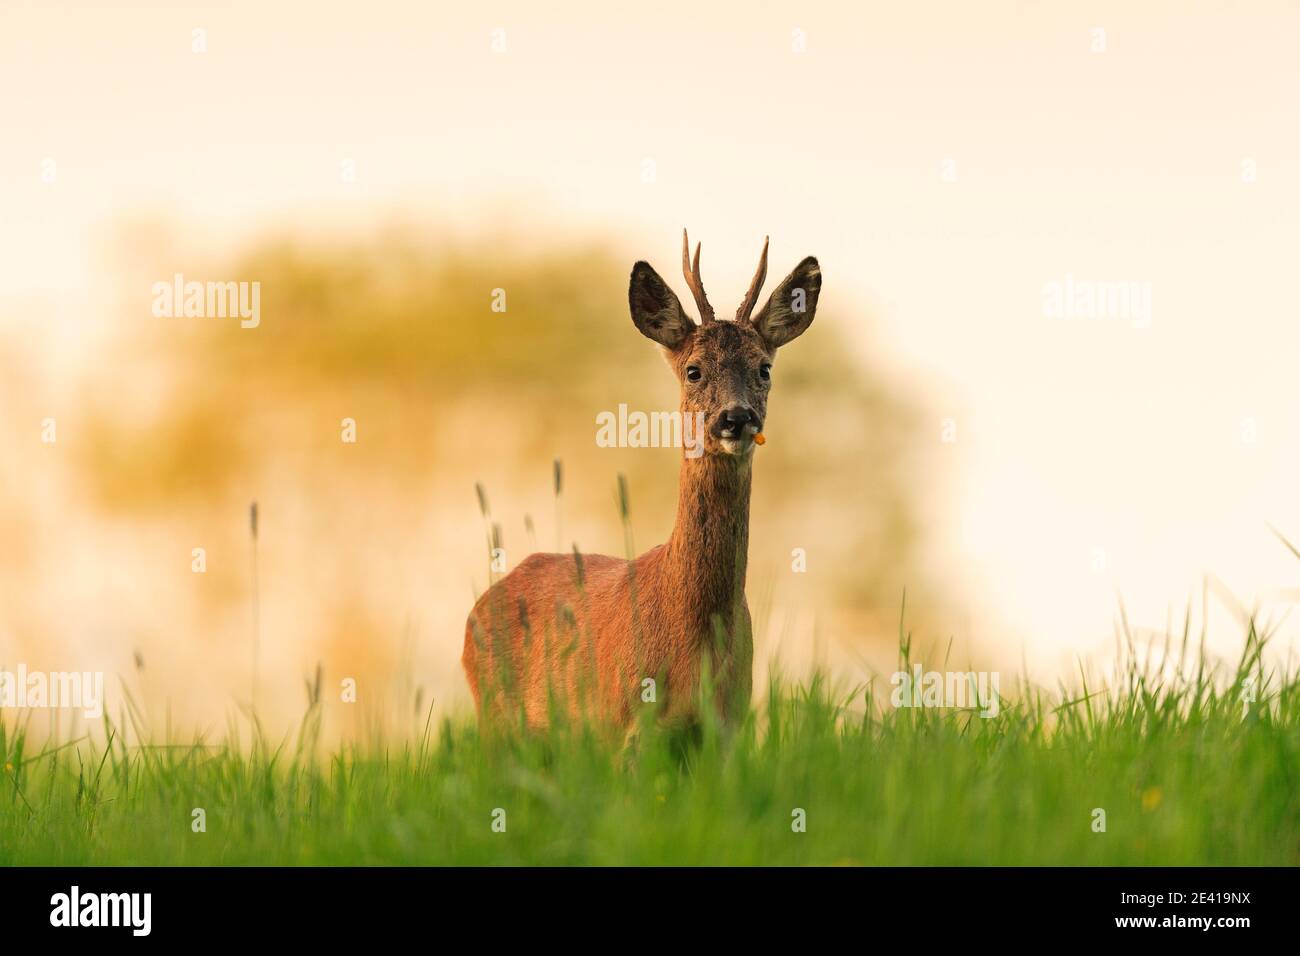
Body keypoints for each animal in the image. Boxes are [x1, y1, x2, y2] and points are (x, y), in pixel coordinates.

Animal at [462, 231, 821, 736]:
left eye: (764, 368)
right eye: (693, 369)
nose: (736, 417)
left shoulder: (729, 726)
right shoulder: (629, 720)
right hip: (496, 718)